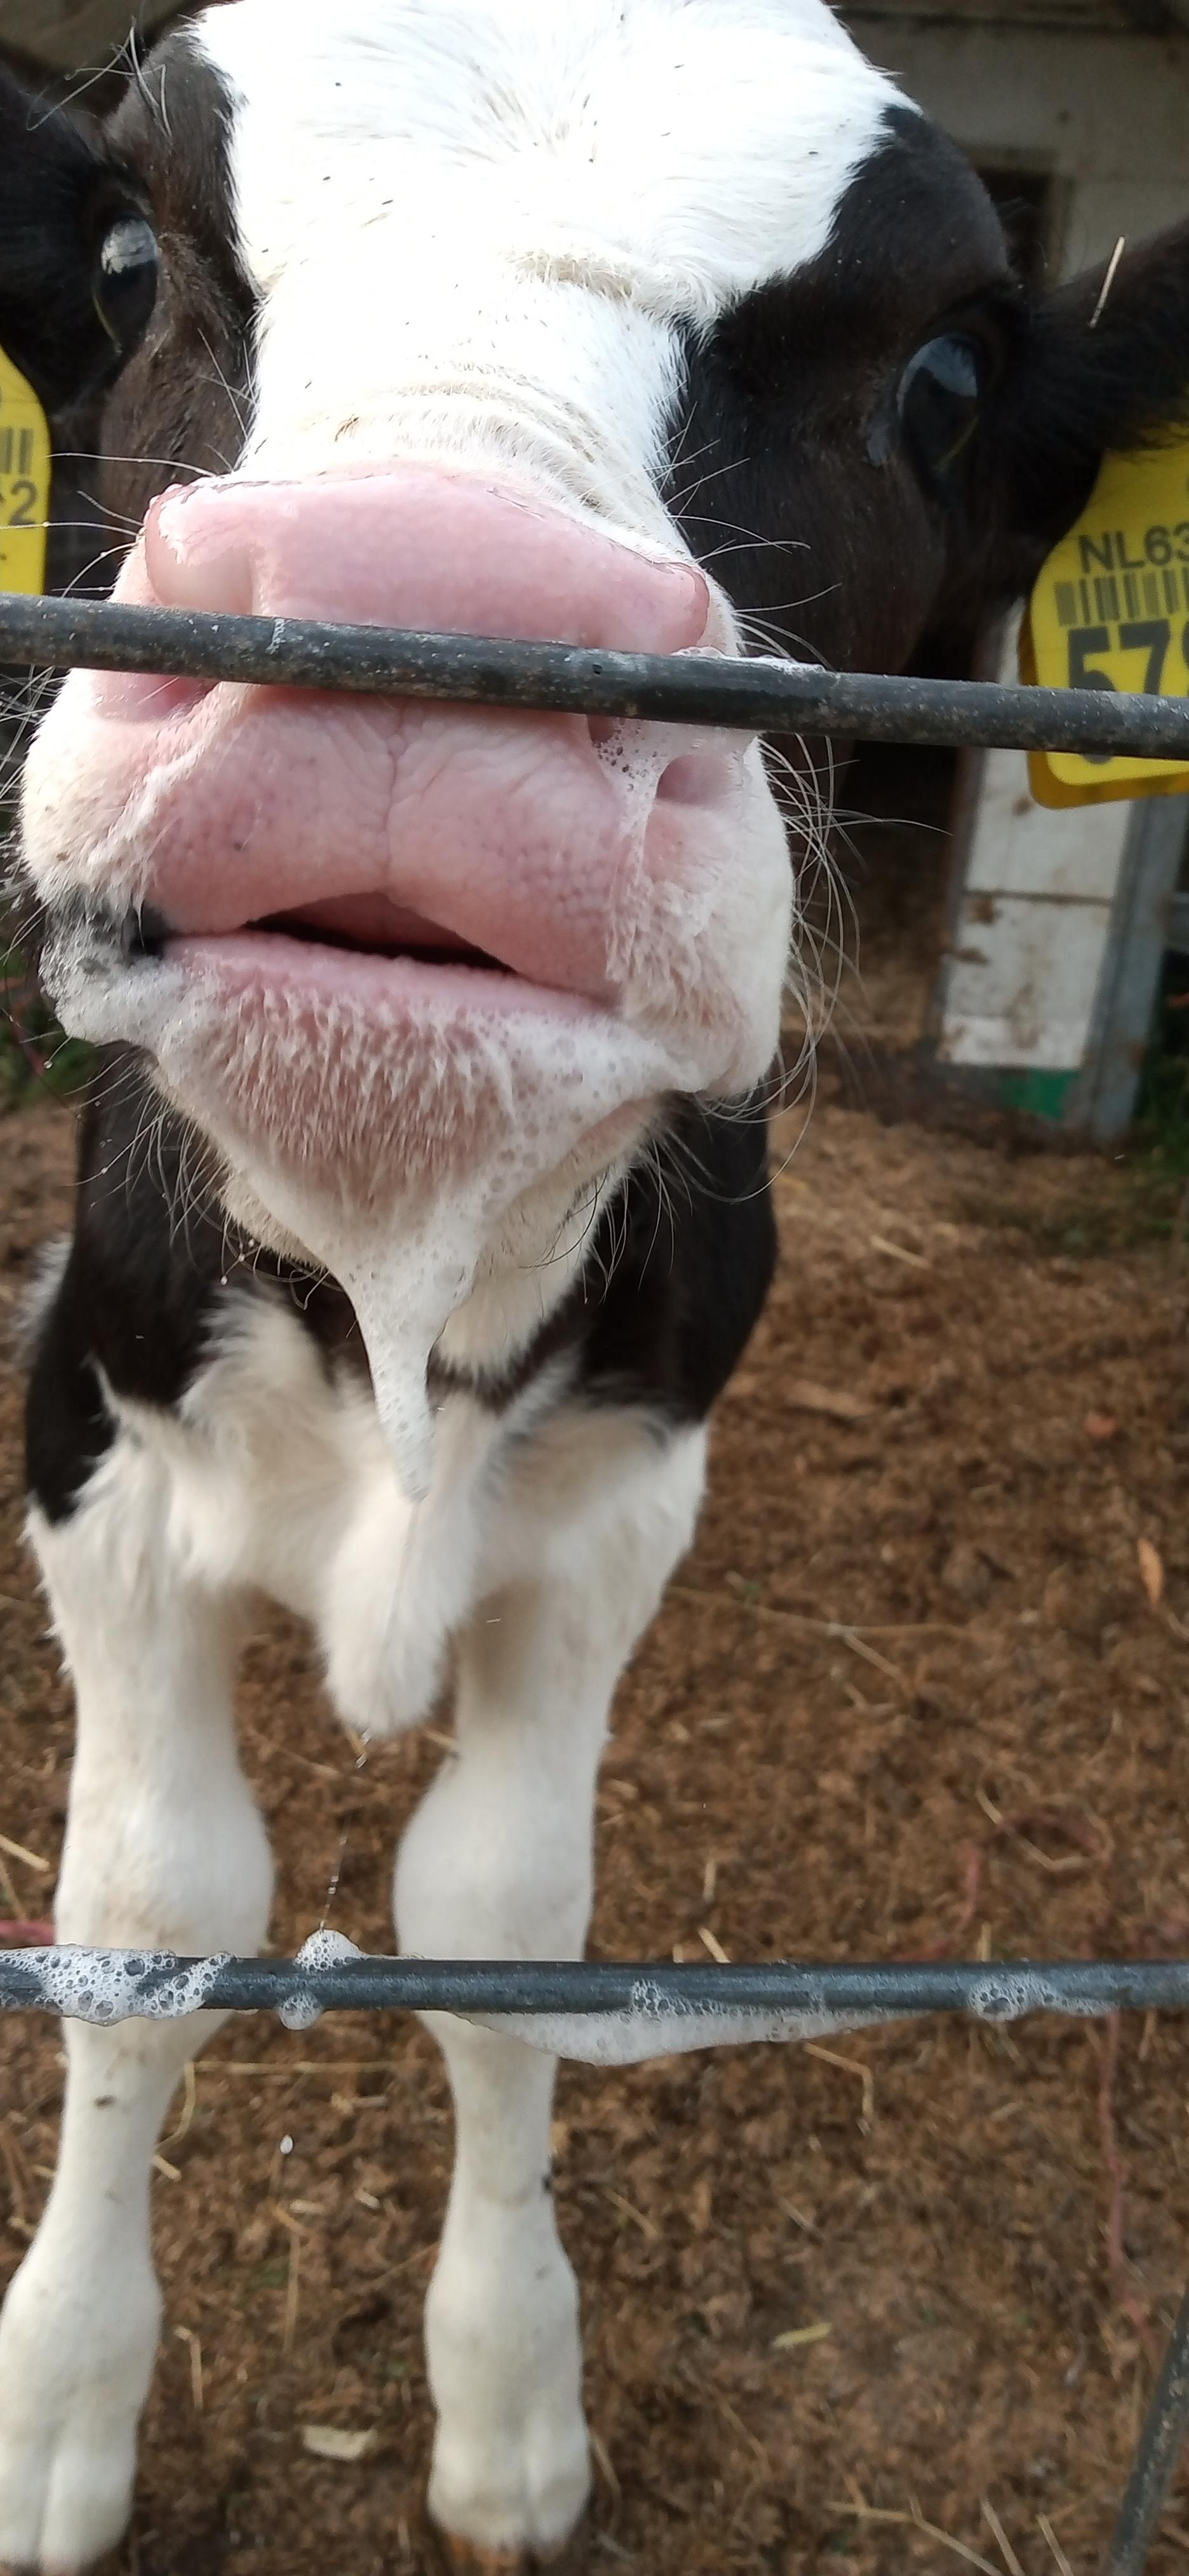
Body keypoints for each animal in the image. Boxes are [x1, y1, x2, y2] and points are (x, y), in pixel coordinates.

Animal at [0, 3, 1187, 2567]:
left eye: (944, 371)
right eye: (135, 253)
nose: (411, 620)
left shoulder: (632, 1494)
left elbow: (506, 1920)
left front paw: (508, 2397)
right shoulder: (89, 1442)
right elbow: (146, 1910)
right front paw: (60, 2396)